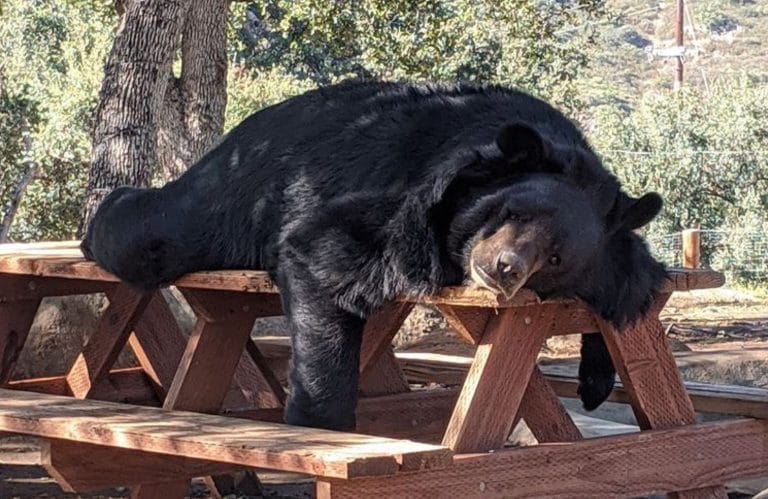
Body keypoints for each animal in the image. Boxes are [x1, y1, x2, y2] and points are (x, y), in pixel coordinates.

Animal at [81, 80, 667, 430]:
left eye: (556, 258)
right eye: (511, 210)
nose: (503, 268)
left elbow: (632, 286)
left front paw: (596, 381)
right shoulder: (404, 200)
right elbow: (325, 255)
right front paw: (320, 423)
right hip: (234, 193)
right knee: (151, 232)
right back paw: (100, 218)